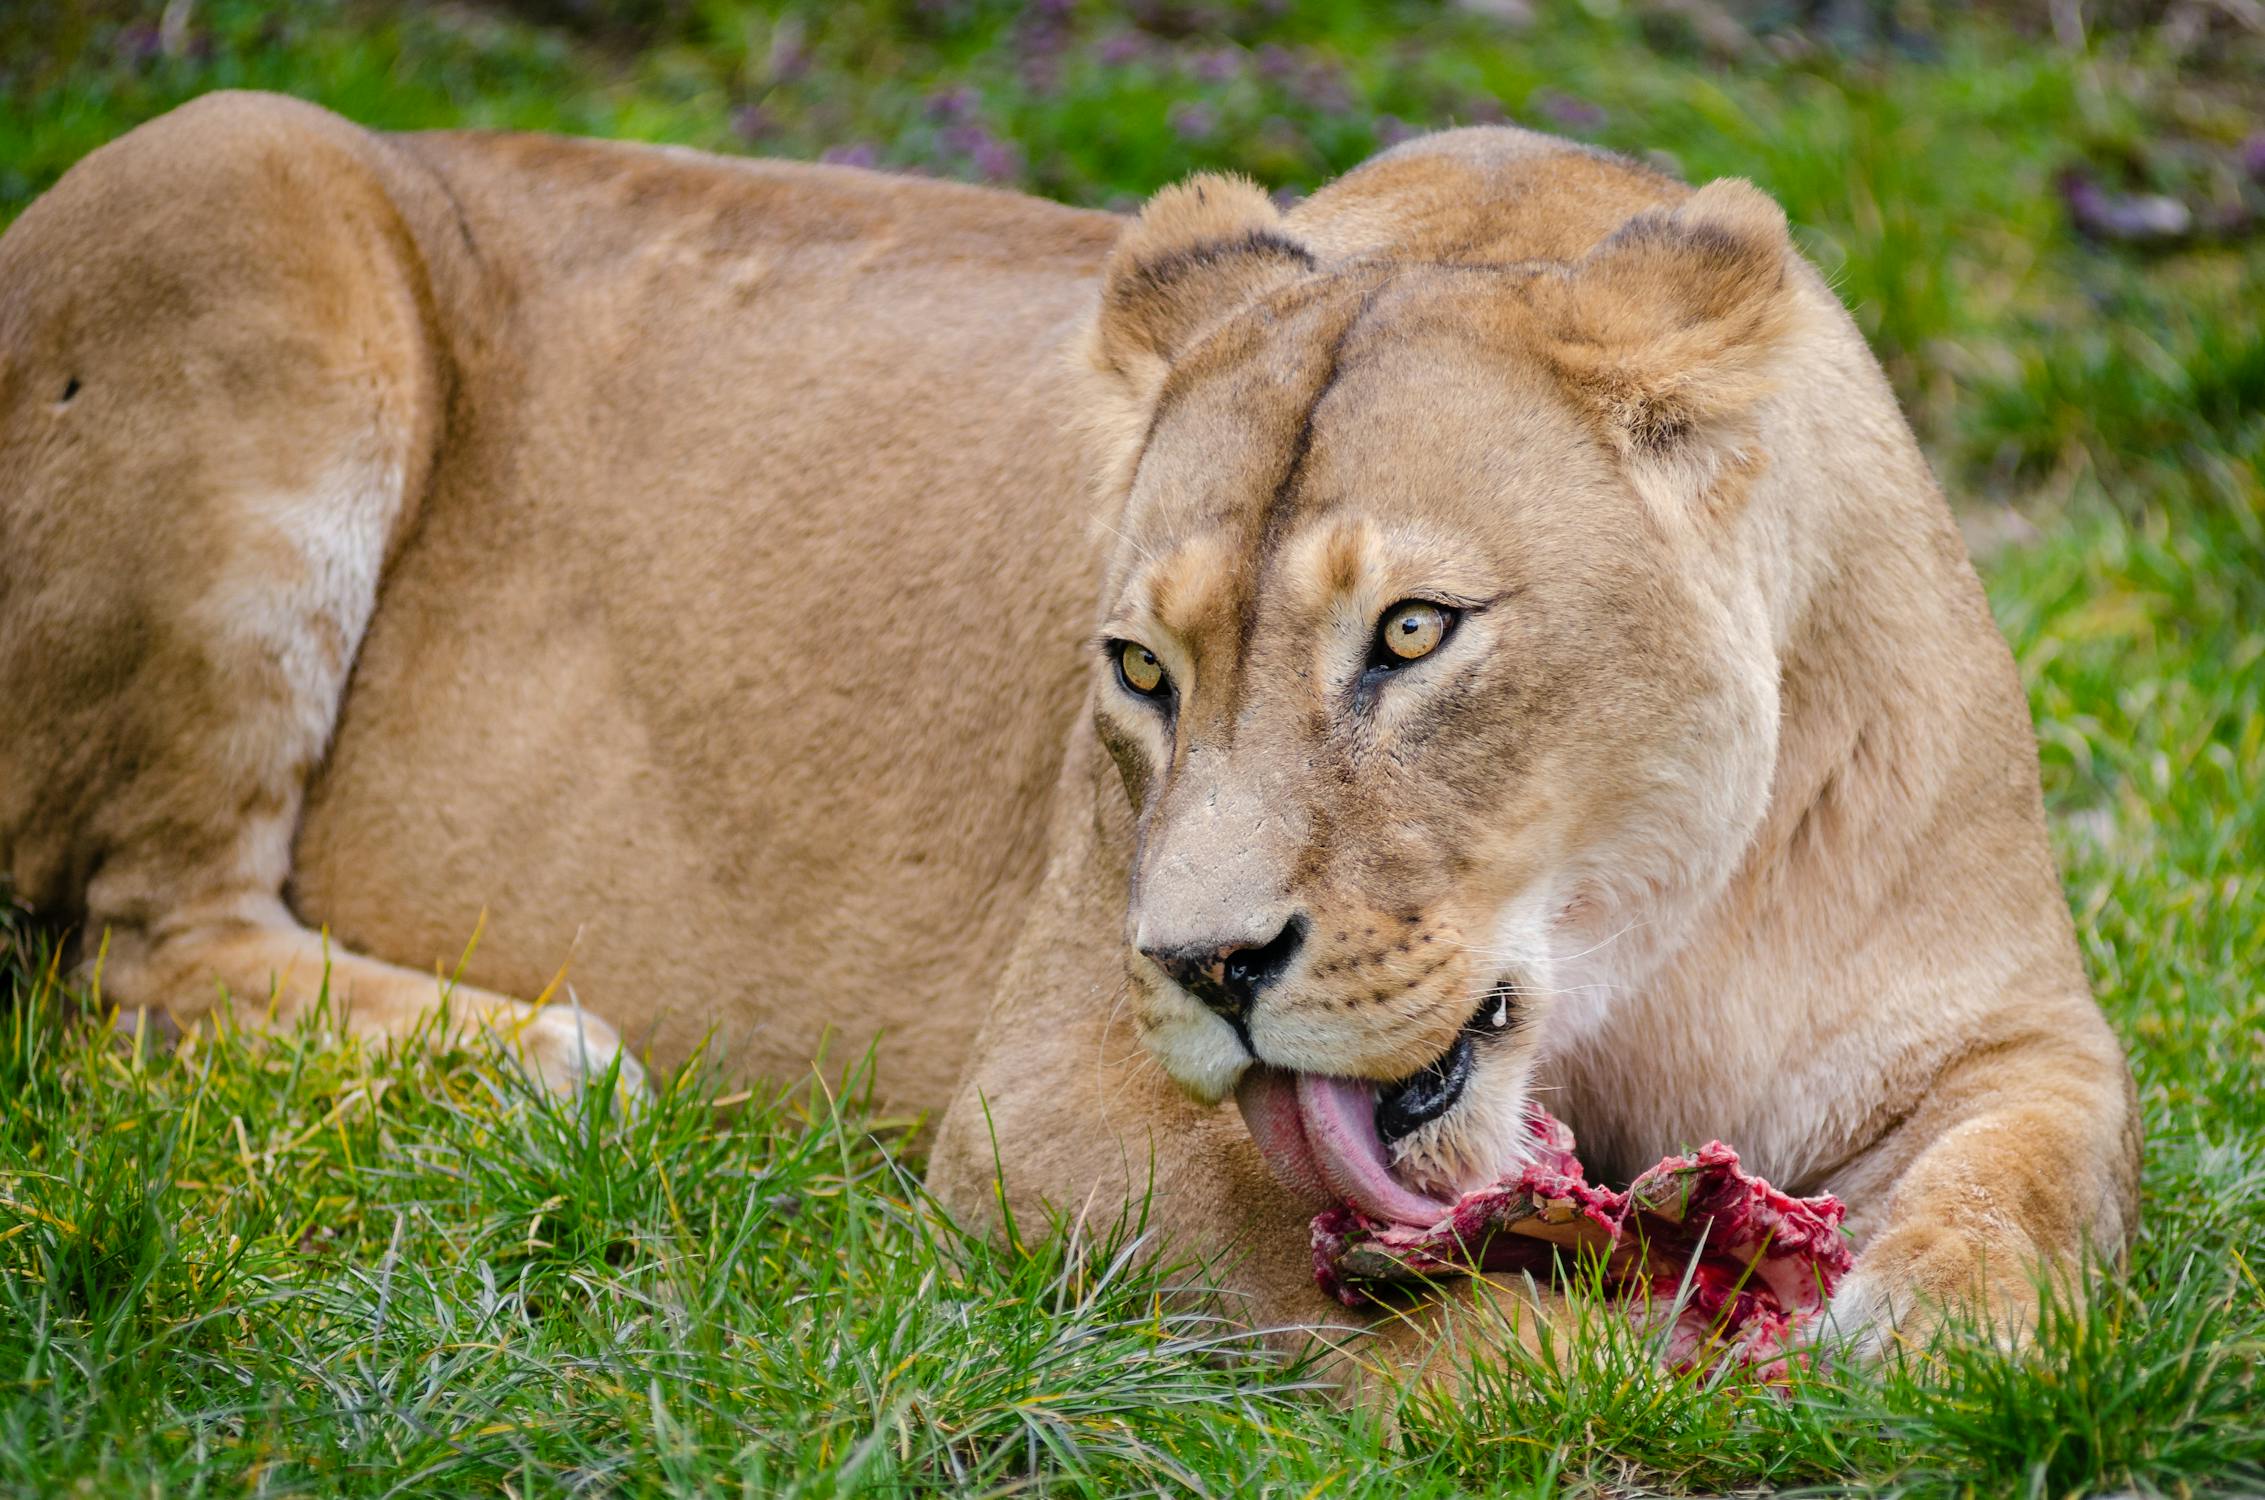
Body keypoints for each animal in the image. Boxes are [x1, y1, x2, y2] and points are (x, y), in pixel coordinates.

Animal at [0, 91, 2137, 1378]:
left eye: (1414, 634)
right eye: (1142, 670)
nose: (1204, 965)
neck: (1630, 945)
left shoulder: (2011, 1028)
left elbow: (2030, 1189)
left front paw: (1926, 1336)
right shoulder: (1046, 1109)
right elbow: (1435, 1322)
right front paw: (1639, 1369)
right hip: (242, 174)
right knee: (134, 943)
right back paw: (547, 1060)